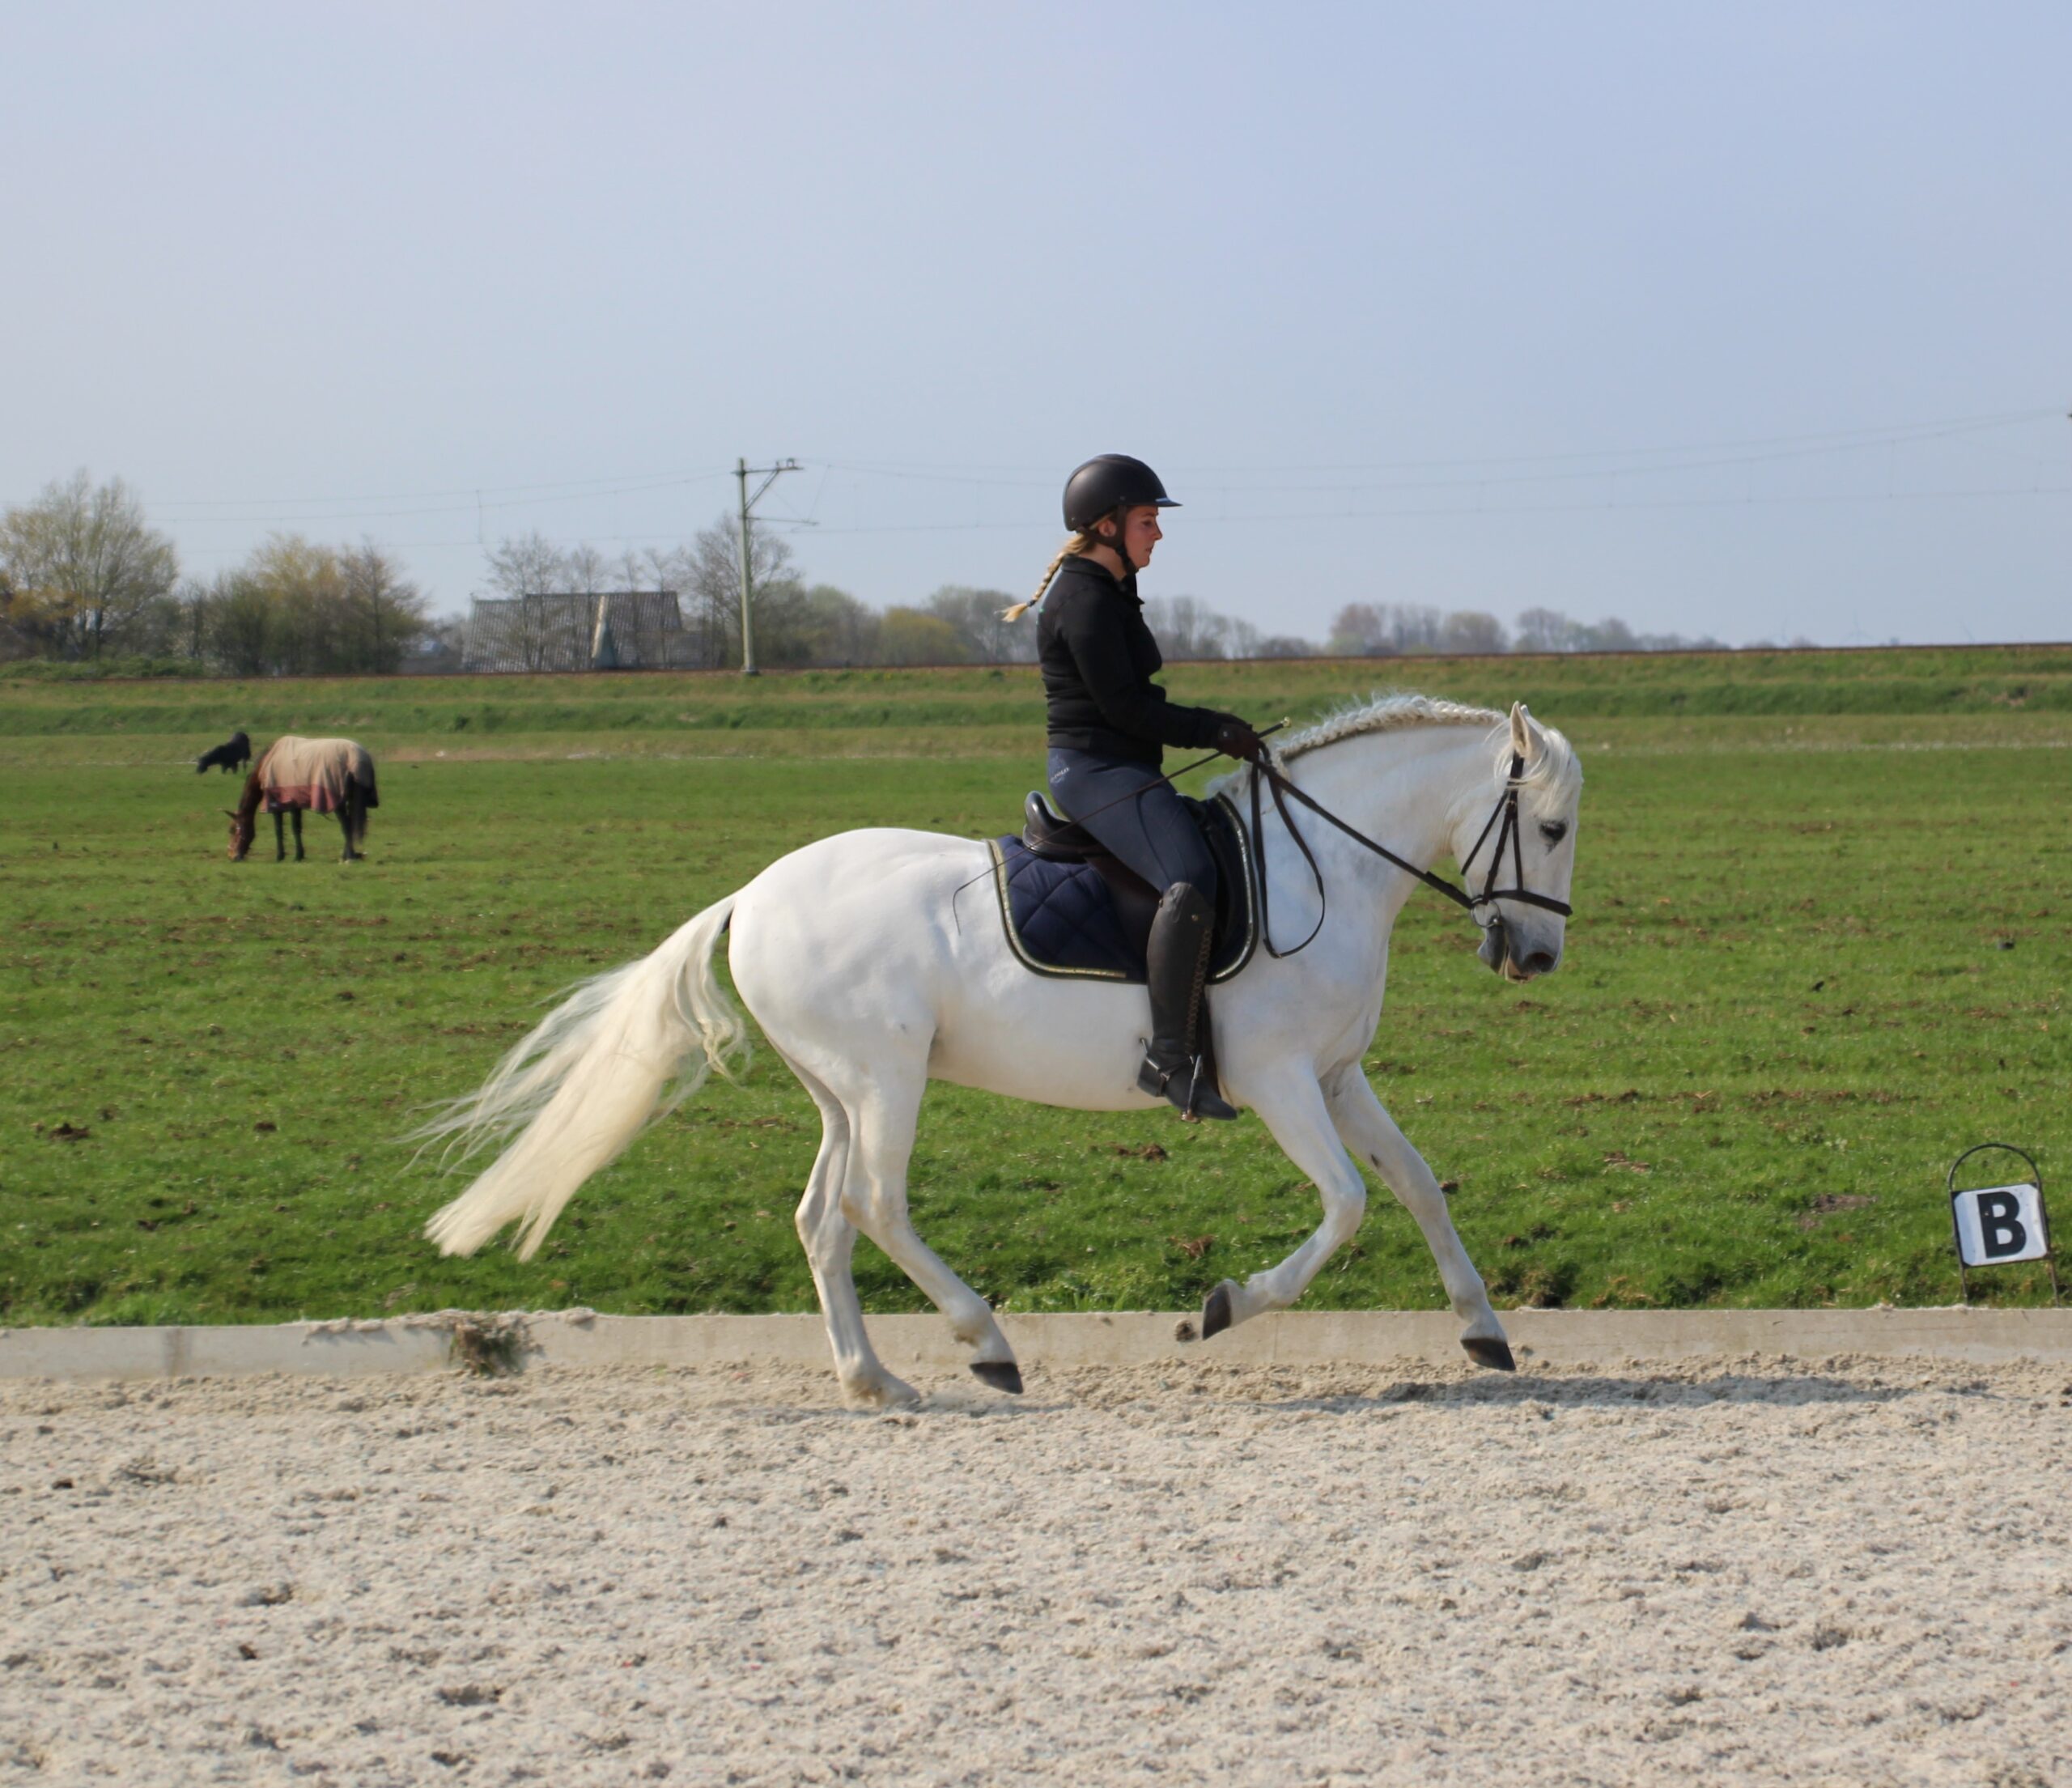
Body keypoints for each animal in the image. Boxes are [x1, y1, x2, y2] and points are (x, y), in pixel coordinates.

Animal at [227, 736, 378, 862]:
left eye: (233, 830)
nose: (233, 856)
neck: (267, 764)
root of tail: (361, 759)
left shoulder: (278, 804)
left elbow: (282, 829)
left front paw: (283, 856)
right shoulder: (296, 803)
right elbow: (297, 828)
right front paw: (299, 855)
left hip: (338, 801)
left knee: (346, 824)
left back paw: (349, 856)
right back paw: (349, 854)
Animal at [420, 696, 1583, 1406]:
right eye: (1554, 828)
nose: (1535, 956)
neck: (1320, 868)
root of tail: (752, 894)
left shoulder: (1338, 1076)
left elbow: (1419, 1184)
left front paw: (1484, 1331)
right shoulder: (1281, 1081)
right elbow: (1345, 1206)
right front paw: (1218, 1310)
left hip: (842, 1092)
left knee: (822, 1219)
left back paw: (875, 1381)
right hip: (886, 1079)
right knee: (874, 1205)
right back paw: (986, 1344)